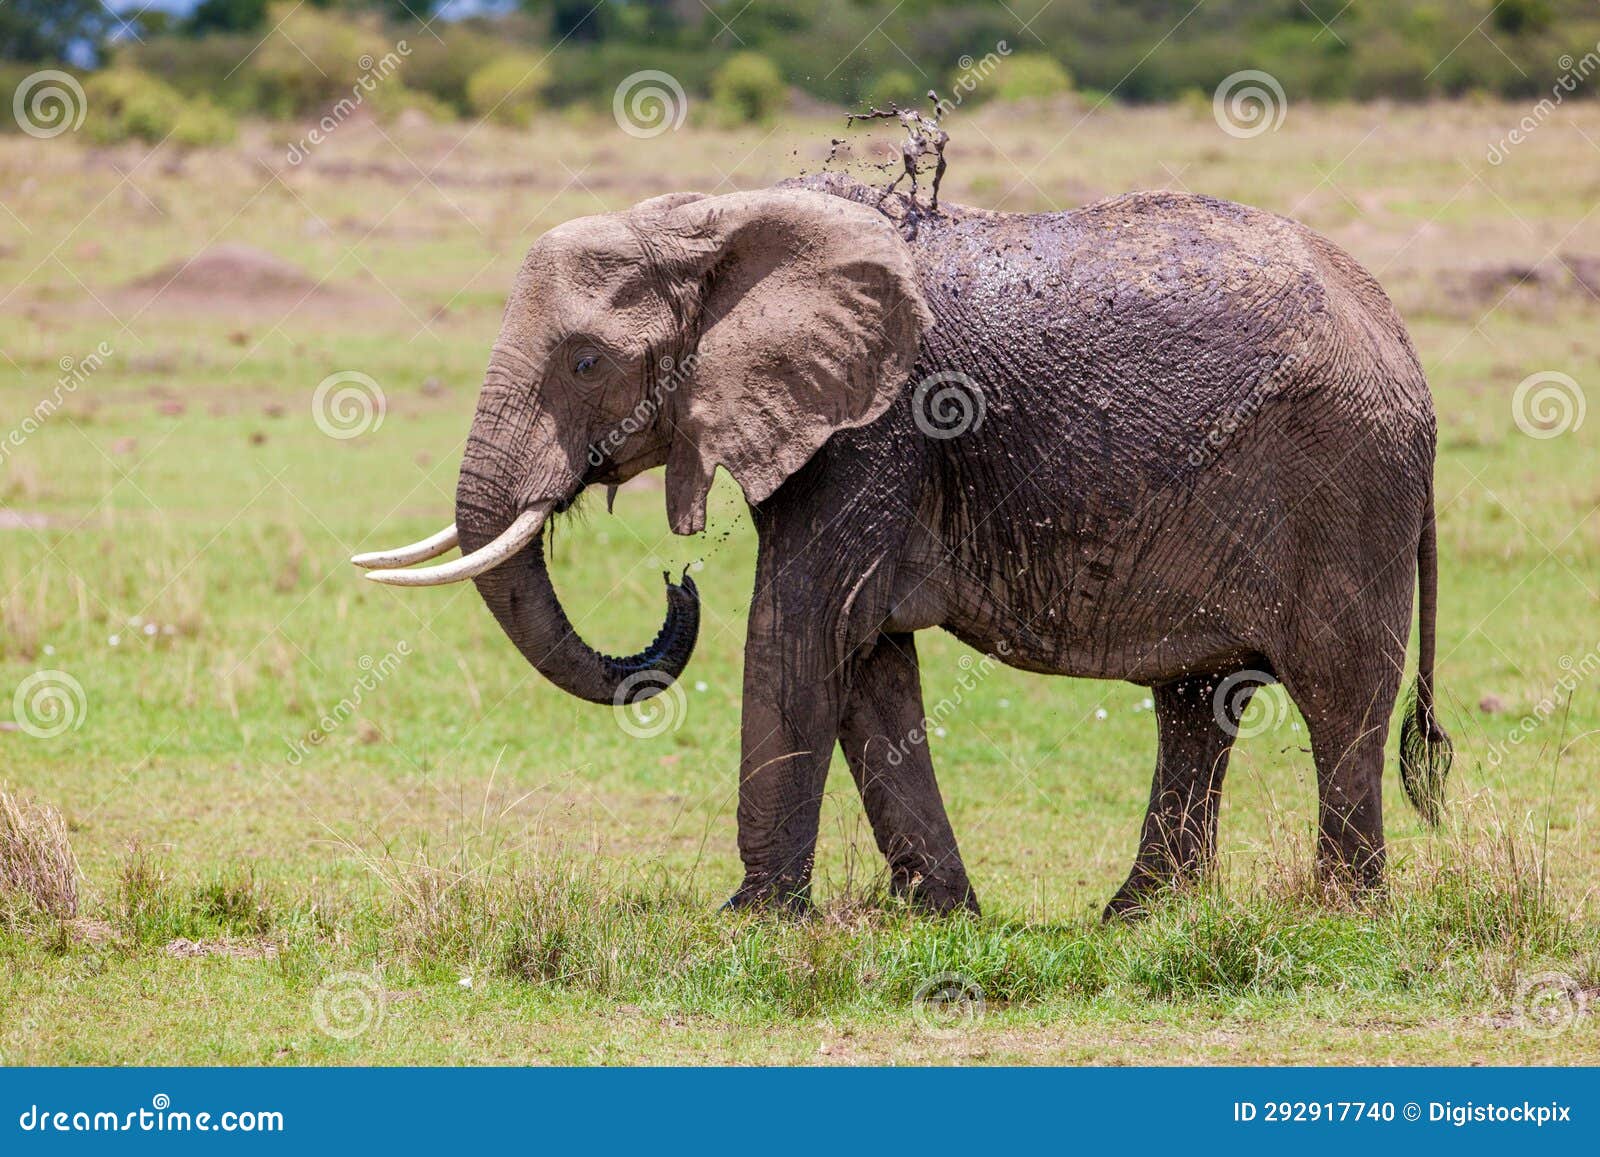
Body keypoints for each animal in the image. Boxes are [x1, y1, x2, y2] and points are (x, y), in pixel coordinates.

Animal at [351, 170, 1452, 920]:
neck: (721, 217)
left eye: (585, 361)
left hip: (1344, 485)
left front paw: (748, 921)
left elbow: (802, 628)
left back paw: (1341, 912)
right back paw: (1137, 918)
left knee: (1339, 694)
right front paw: (941, 914)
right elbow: (868, 656)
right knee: (1197, 702)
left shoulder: (877, 428)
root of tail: (1408, 357)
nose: (676, 584)